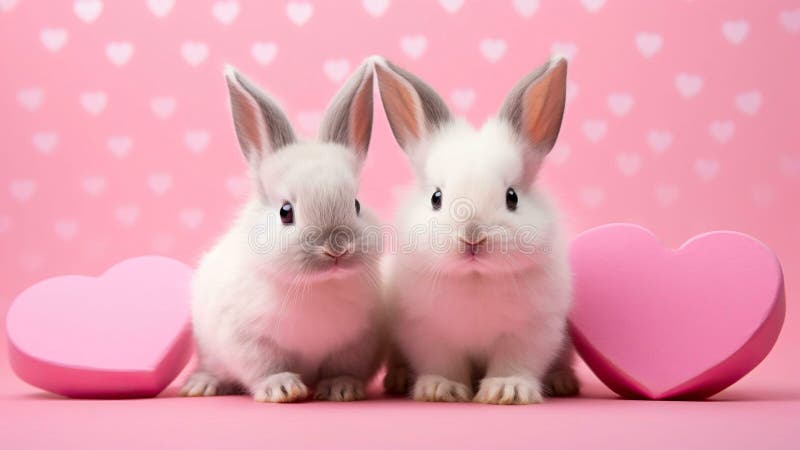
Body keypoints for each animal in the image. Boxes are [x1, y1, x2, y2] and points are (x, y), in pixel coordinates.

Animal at [180, 59, 384, 403]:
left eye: (356, 204)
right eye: (285, 212)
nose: (336, 248)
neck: (317, 285)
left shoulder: (357, 342)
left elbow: (343, 368)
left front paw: (341, 389)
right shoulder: (248, 340)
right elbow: (265, 367)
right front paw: (282, 388)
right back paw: (200, 386)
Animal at [375, 56, 579, 404]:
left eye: (512, 197)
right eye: (436, 198)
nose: (472, 237)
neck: (476, 278)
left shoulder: (531, 331)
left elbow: (515, 362)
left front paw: (508, 390)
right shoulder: (427, 331)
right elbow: (442, 363)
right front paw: (441, 389)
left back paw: (563, 382)